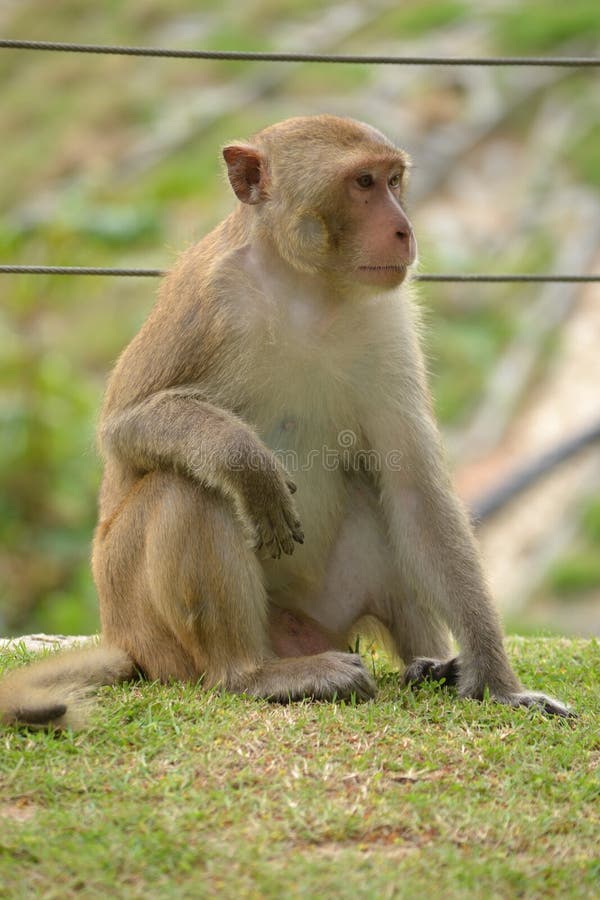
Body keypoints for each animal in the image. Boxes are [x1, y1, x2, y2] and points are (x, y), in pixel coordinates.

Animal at [0, 115, 573, 728]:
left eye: (394, 180)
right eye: (363, 182)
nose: (404, 230)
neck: (307, 288)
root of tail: (122, 639)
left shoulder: (388, 317)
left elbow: (413, 486)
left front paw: (496, 685)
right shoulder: (206, 297)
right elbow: (124, 428)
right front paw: (246, 462)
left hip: (330, 610)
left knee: (376, 498)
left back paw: (430, 664)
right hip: (149, 623)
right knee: (185, 489)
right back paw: (253, 674)